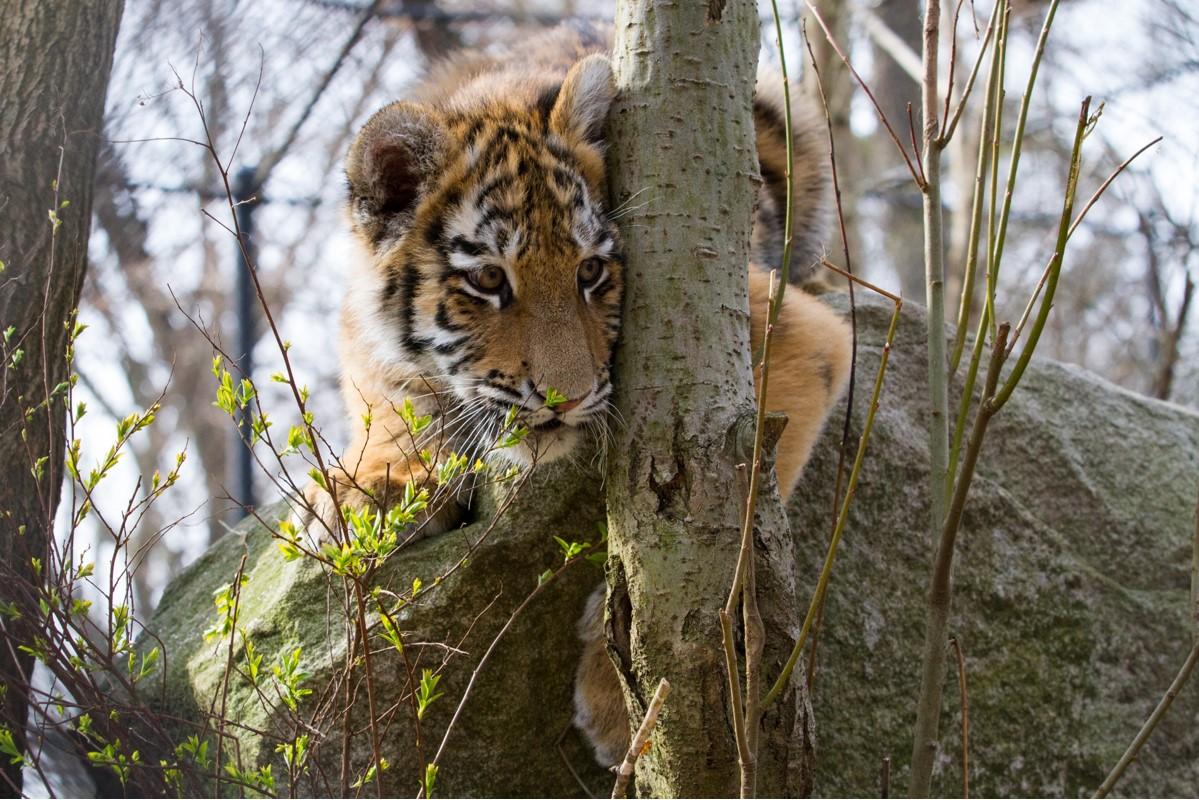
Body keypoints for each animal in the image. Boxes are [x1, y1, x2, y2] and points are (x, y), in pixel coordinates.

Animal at [307, 23, 851, 768]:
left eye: (591, 271)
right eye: (487, 280)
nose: (565, 399)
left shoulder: (795, 338)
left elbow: (682, 547)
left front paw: (628, 707)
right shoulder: (357, 330)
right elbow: (389, 395)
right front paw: (374, 488)